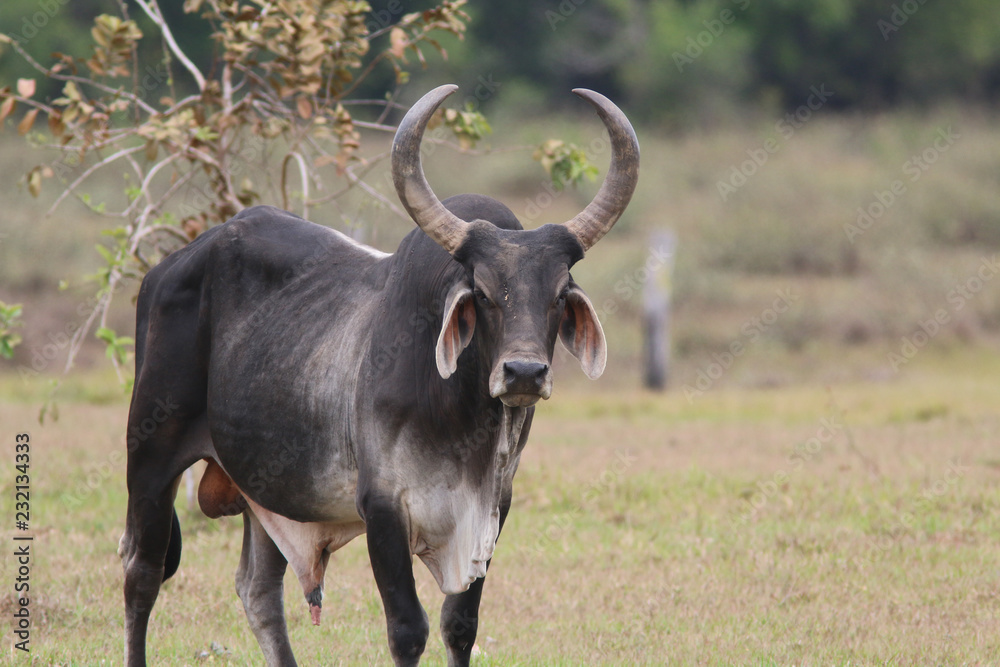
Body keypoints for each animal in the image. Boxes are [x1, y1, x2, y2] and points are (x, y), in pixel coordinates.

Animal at [119, 84, 639, 666]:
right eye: (483, 293)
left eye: (559, 294)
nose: (524, 371)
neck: (460, 419)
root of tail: (169, 267)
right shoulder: (384, 509)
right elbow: (408, 628)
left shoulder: (493, 509)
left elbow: (460, 625)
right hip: (150, 456)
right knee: (142, 574)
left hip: (263, 483)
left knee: (258, 591)